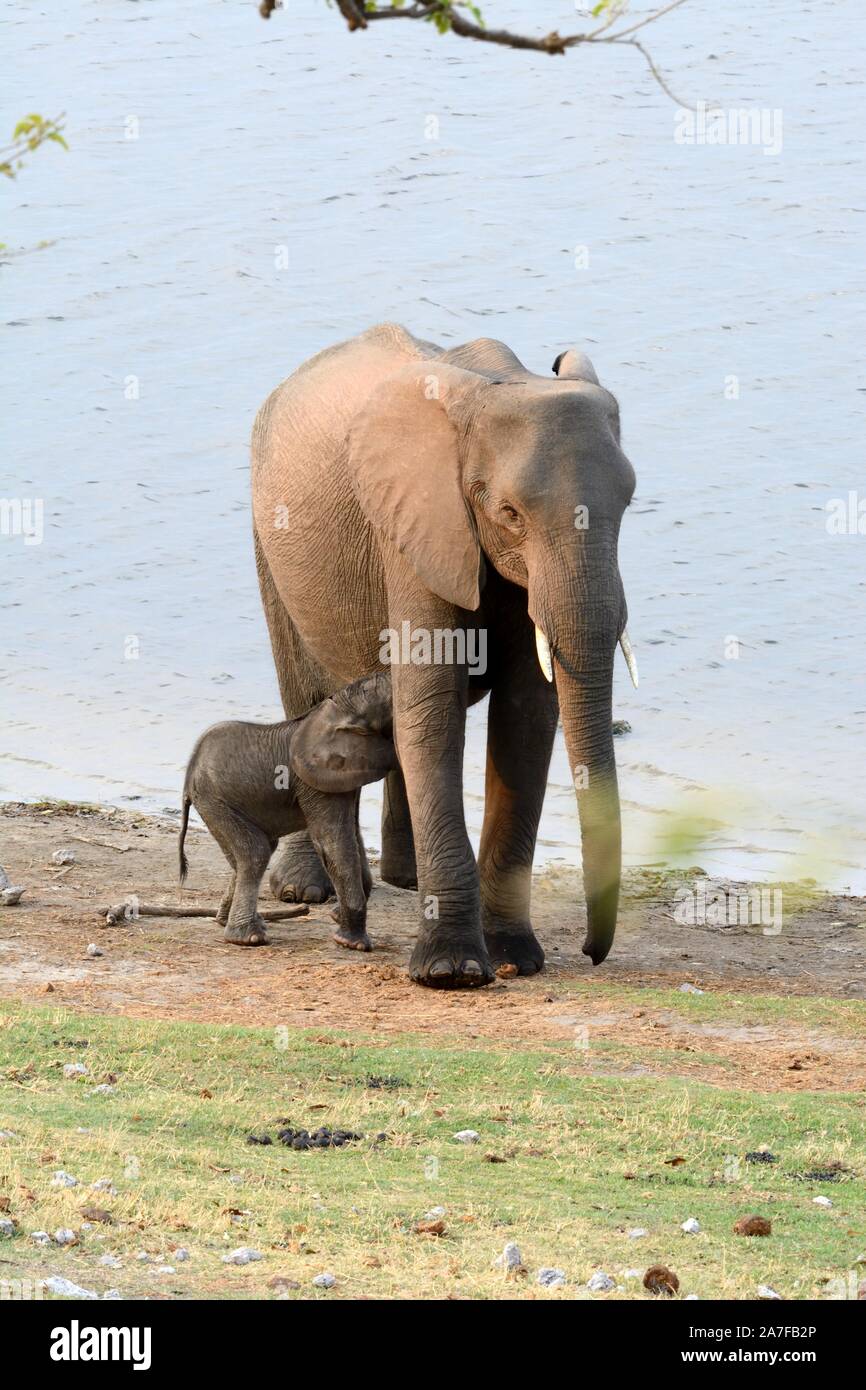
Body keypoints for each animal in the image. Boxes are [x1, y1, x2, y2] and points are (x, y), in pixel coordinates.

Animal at [178, 672, 396, 950]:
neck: (337, 707)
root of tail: (188, 777)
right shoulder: (314, 779)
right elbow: (333, 840)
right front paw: (353, 943)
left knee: (245, 855)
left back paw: (231, 921)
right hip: (214, 798)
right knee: (256, 852)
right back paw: (249, 937)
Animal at [251, 323, 637, 989]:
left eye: (631, 504)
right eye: (509, 513)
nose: (592, 952)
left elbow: (525, 721)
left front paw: (514, 959)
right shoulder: (415, 527)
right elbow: (434, 710)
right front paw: (452, 972)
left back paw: (401, 879)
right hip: (268, 540)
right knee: (303, 692)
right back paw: (305, 891)